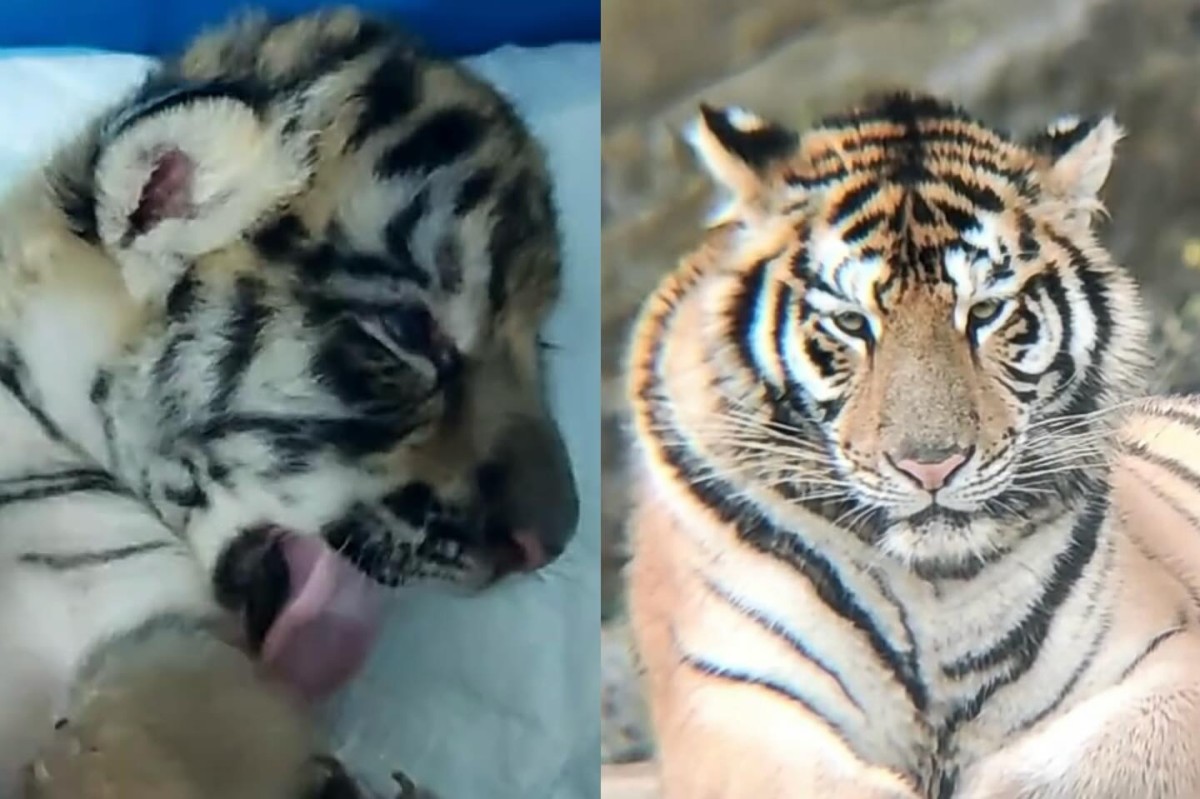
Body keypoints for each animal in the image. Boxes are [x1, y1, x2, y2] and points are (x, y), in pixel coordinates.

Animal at [624, 91, 1200, 799]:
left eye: (985, 313)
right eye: (851, 322)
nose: (932, 467)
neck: (932, 592)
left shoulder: (1168, 654)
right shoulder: (729, 703)